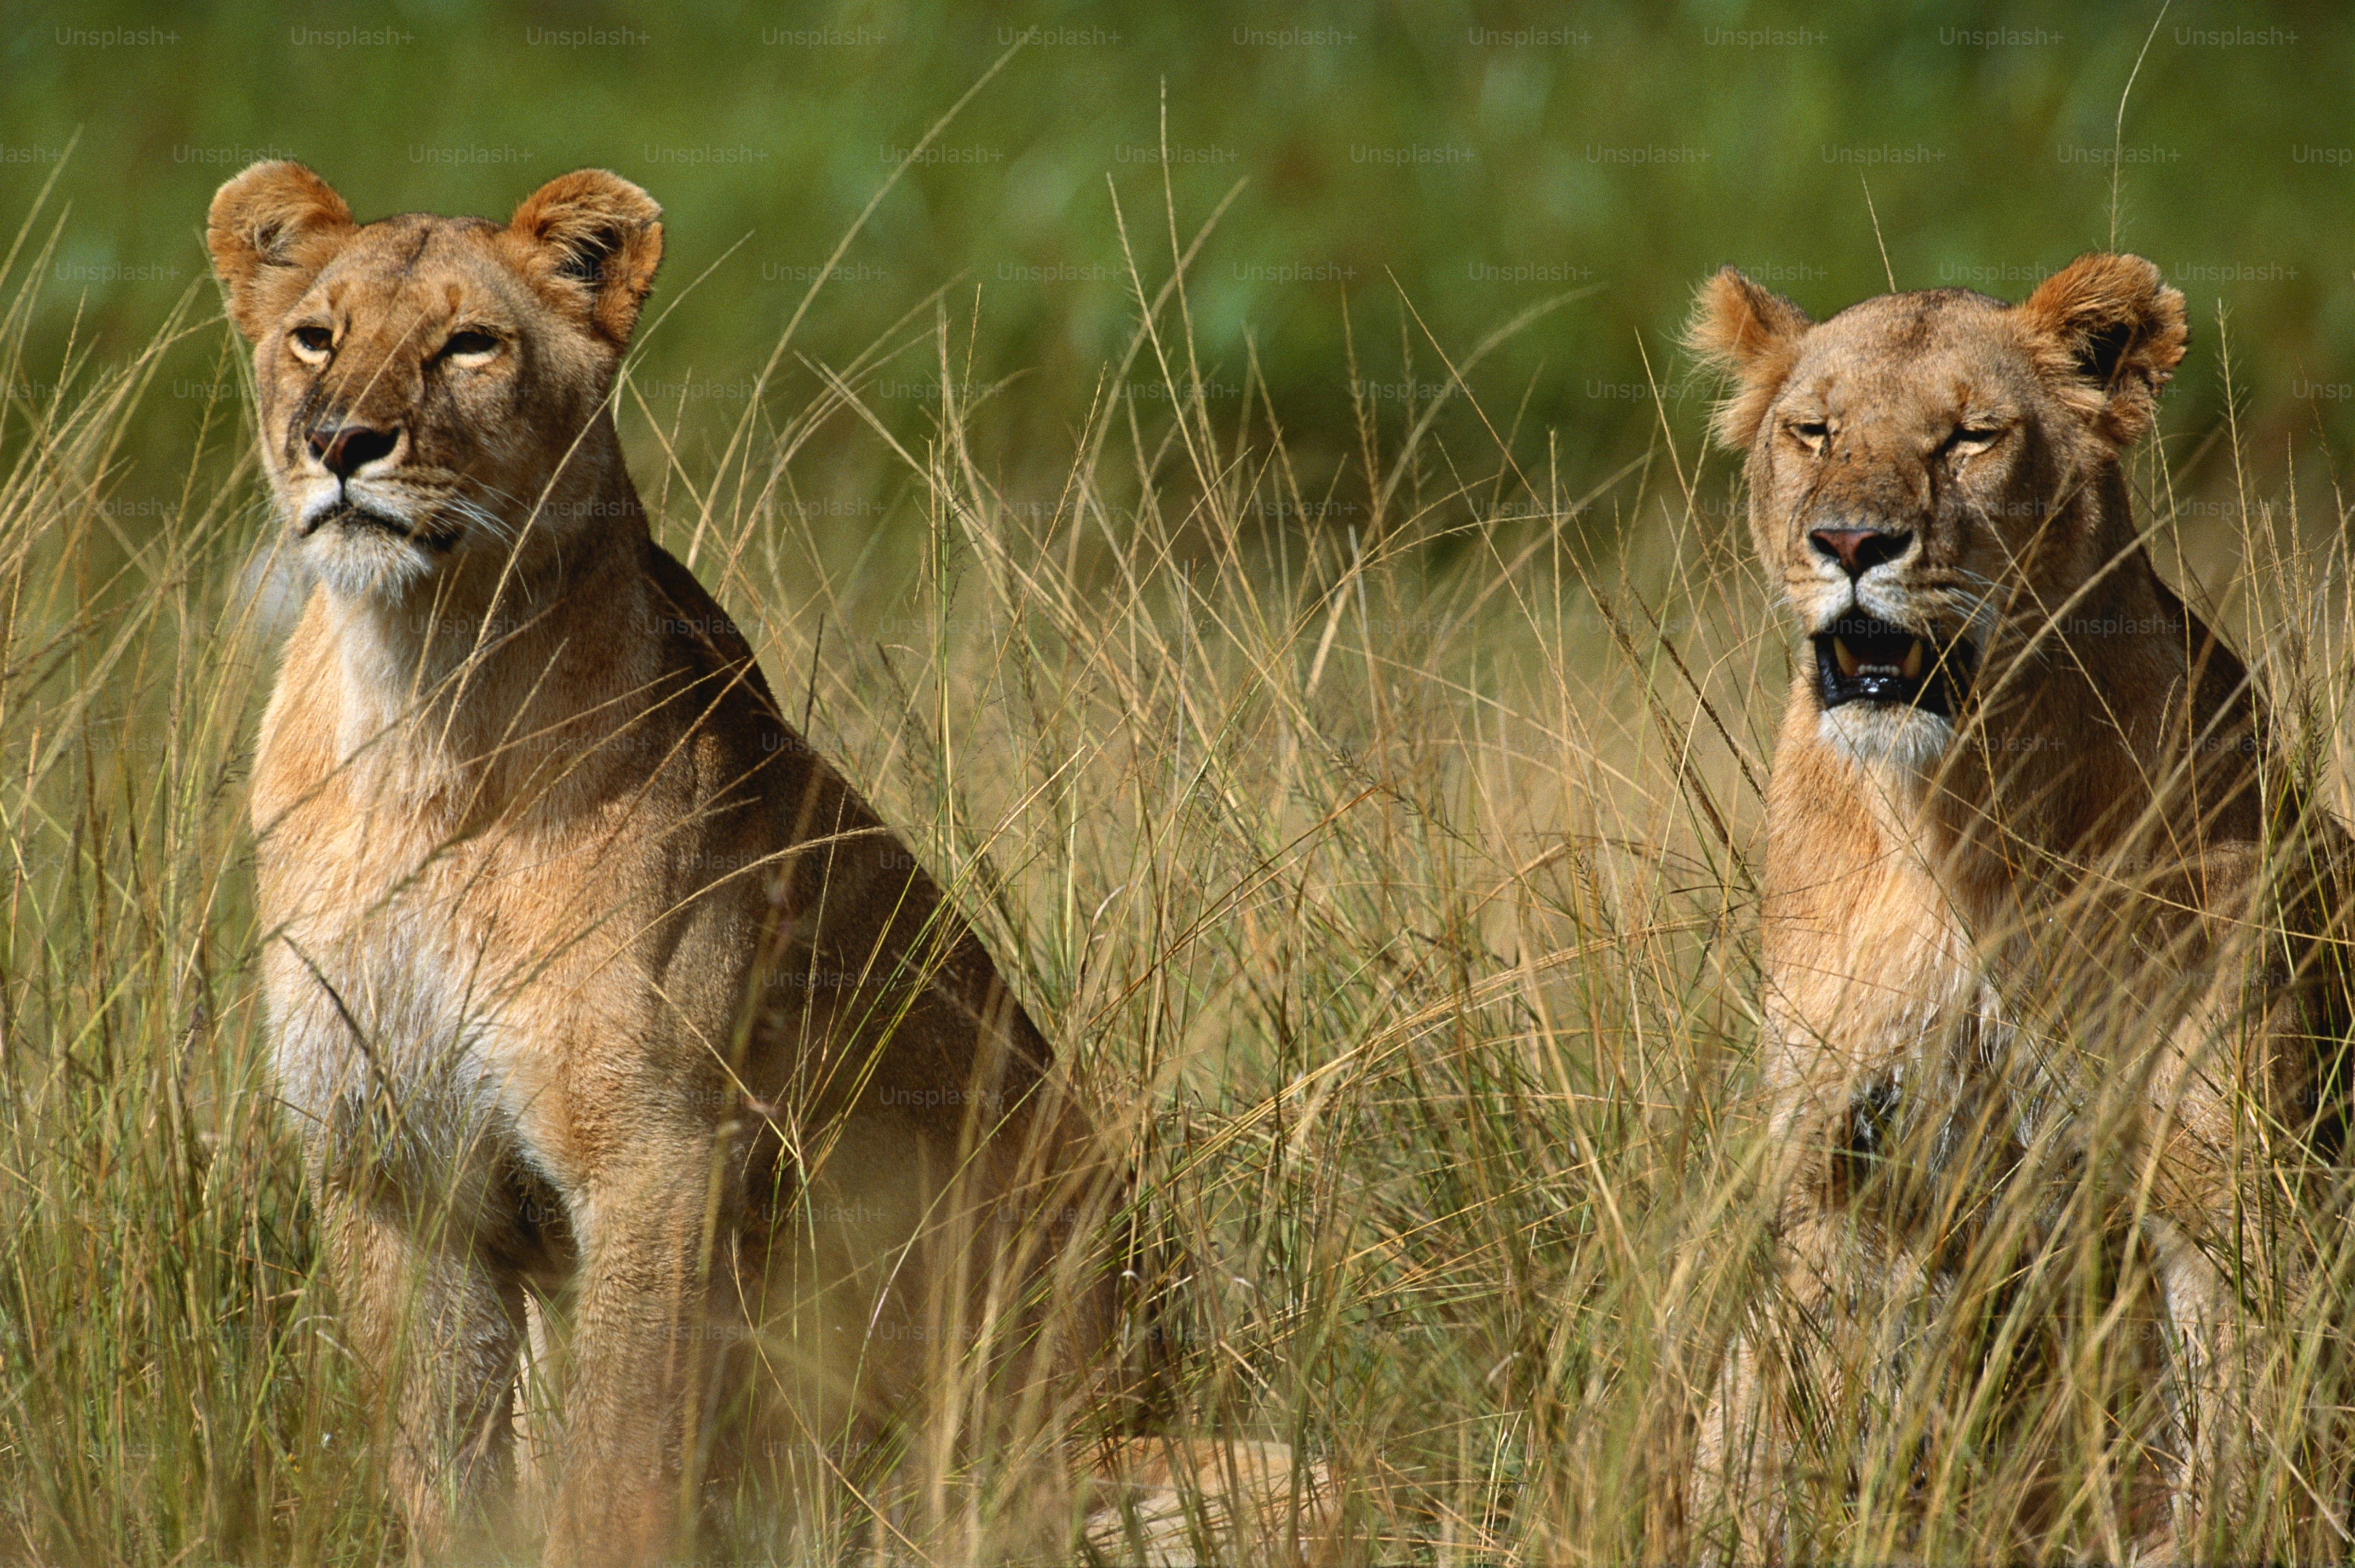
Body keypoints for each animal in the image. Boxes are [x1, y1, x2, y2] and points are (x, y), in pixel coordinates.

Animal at [209, 163, 1323, 1566]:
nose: (341, 442)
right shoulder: (394, 1165)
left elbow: (618, 1465)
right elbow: (439, 1464)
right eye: (316, 336)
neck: (417, 702)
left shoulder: (658, 1155)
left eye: (469, 345)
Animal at [1683, 254, 2354, 1560]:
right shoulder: (1838, 1172)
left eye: (1970, 438)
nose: (1849, 539)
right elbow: (1808, 1433)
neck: (1947, 823)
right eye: (1813, 430)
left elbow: (2233, 1451)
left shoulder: (2231, 1188)